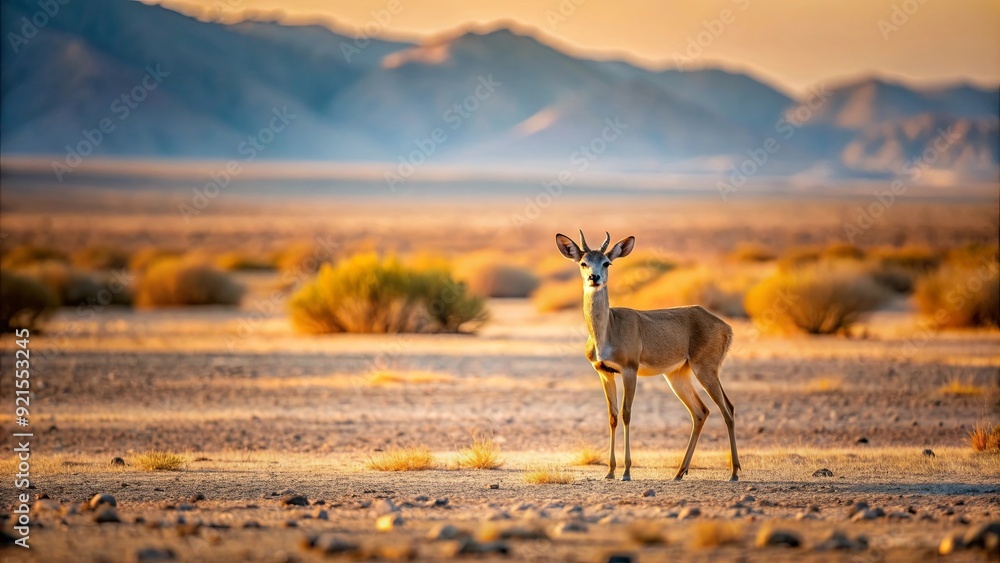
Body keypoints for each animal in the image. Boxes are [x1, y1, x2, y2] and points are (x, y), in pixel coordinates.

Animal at [555, 231, 740, 482]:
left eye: (607, 262)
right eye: (583, 262)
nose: (595, 277)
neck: (608, 329)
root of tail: (724, 326)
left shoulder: (629, 371)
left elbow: (626, 414)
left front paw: (626, 472)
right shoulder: (605, 373)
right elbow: (612, 416)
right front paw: (610, 472)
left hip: (706, 370)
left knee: (727, 409)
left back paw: (734, 473)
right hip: (677, 375)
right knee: (701, 412)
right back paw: (679, 473)